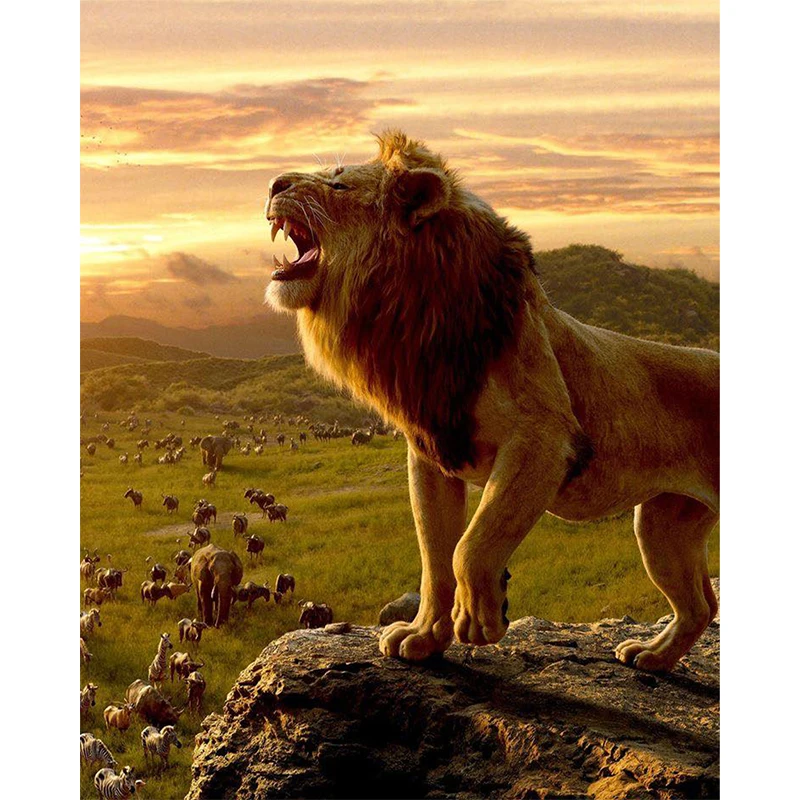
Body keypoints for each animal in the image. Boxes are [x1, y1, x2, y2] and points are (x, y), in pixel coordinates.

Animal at [264, 131, 719, 673]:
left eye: (338, 183)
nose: (274, 183)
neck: (413, 316)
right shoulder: (430, 452)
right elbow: (435, 557)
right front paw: (423, 638)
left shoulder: (544, 439)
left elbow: (471, 546)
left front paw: (481, 618)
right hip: (661, 526)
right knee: (701, 604)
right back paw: (651, 655)